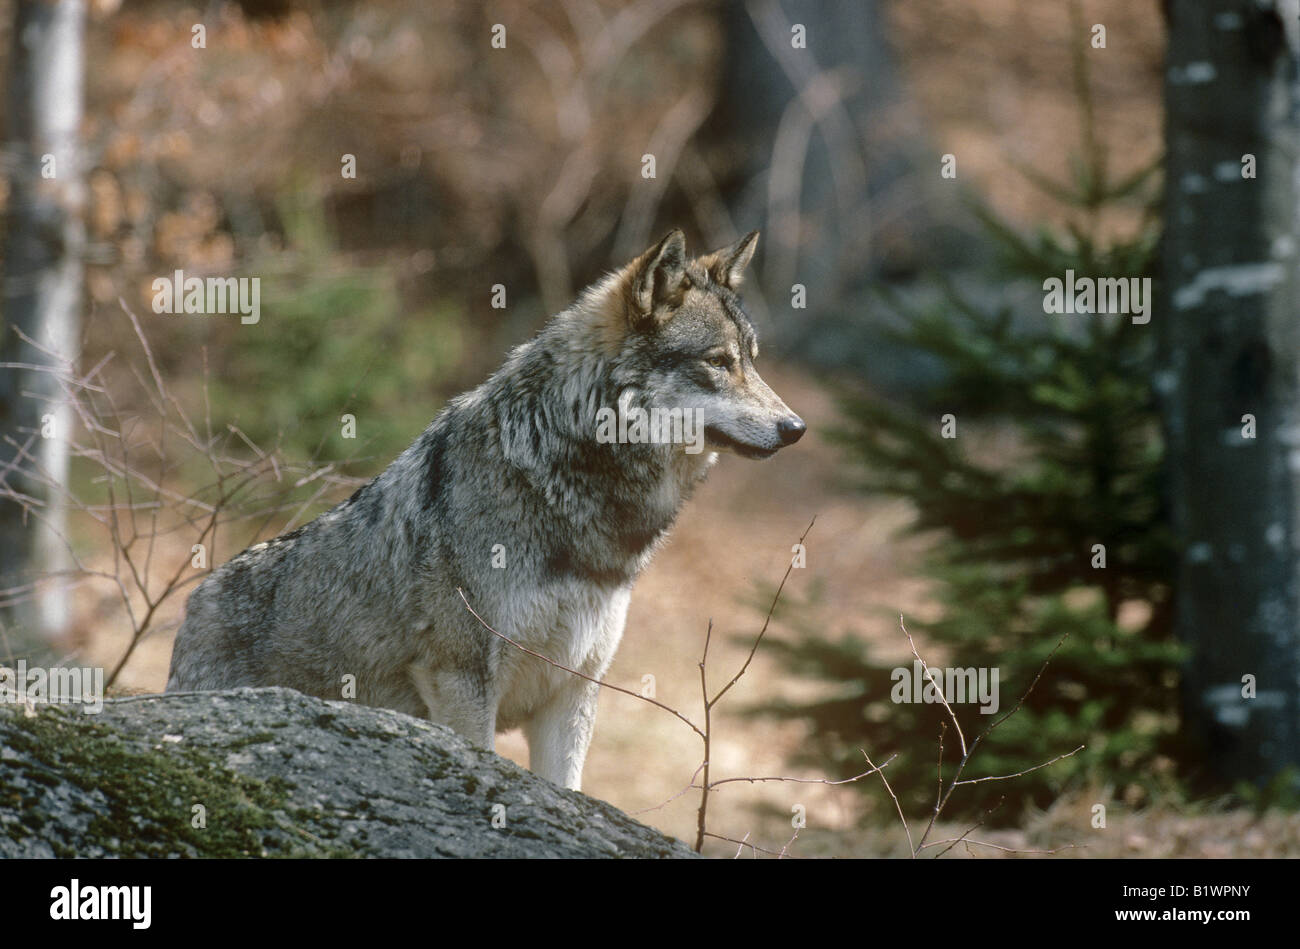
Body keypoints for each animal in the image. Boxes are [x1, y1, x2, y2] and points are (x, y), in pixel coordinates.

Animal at [166, 229, 805, 791]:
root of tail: (193, 604)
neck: (559, 485)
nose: (796, 428)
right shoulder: (463, 680)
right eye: (718, 362)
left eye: (752, 359)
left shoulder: (573, 691)